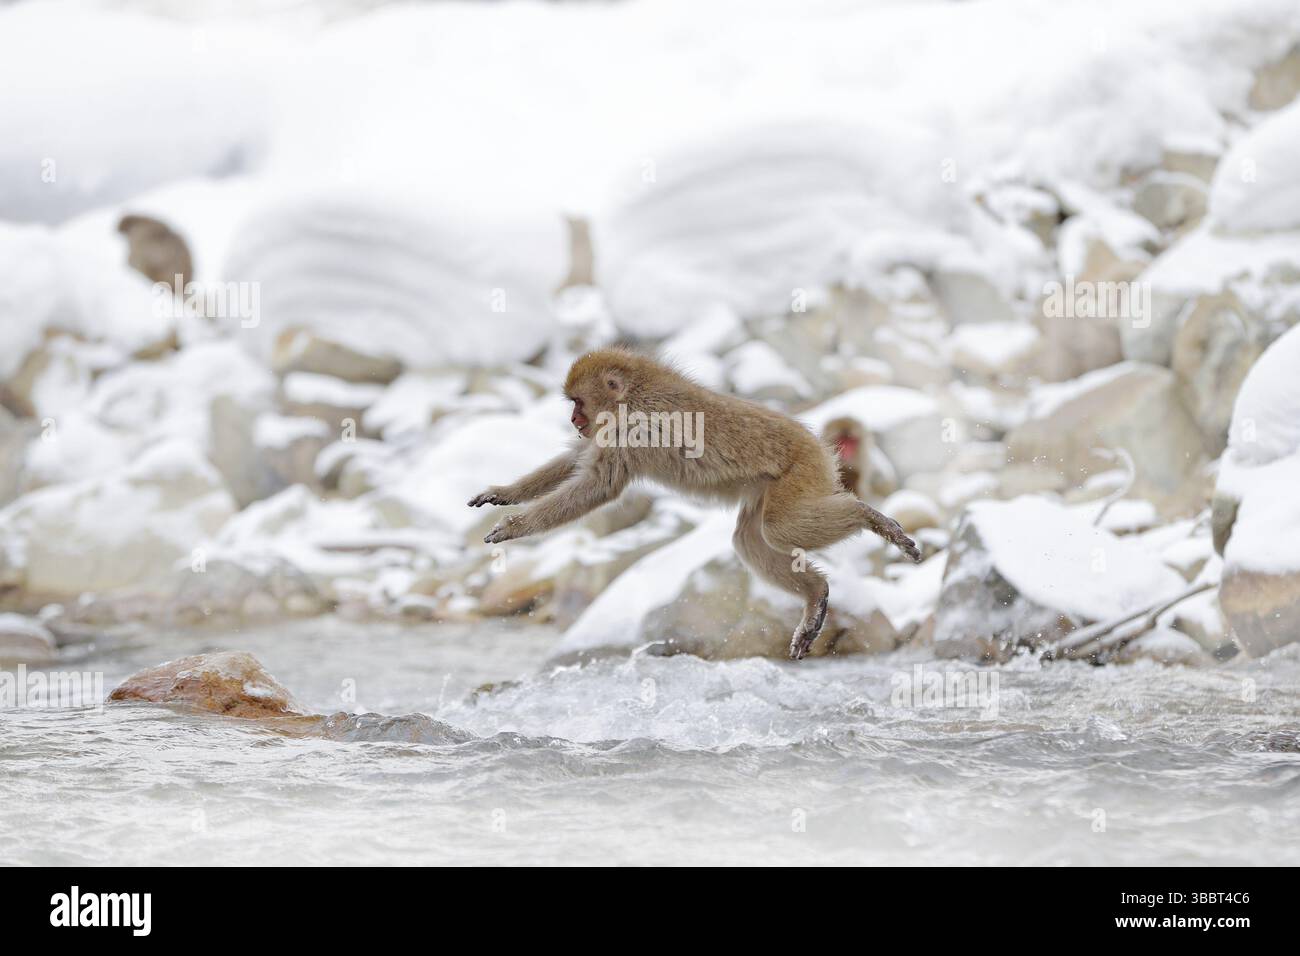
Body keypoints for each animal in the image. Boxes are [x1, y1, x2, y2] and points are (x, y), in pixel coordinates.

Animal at [468, 348, 921, 660]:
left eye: (578, 403)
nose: (574, 421)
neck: (634, 393)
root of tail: (819, 444)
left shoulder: (634, 428)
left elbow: (599, 486)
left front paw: (515, 527)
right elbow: (575, 461)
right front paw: (504, 493)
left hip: (802, 470)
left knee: (779, 526)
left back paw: (869, 516)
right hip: (772, 485)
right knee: (749, 539)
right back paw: (816, 596)